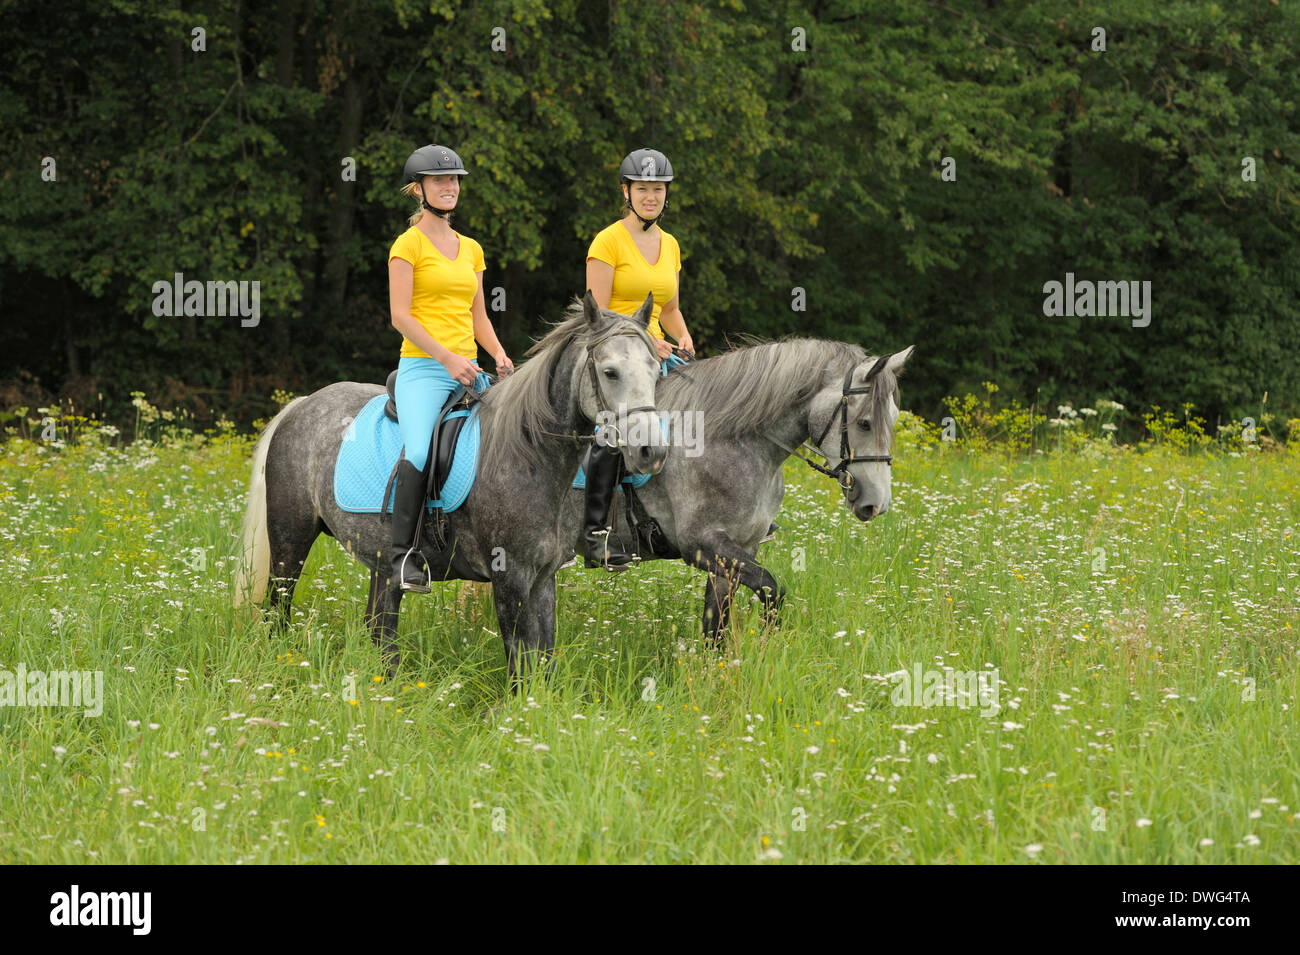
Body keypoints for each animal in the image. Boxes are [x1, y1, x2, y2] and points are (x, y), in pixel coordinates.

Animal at [232, 293, 667, 686]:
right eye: (610, 372)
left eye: (655, 369)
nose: (651, 451)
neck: (530, 452)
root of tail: (302, 404)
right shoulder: (510, 577)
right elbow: (519, 663)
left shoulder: (544, 578)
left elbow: (544, 660)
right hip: (290, 541)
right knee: (278, 608)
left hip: (382, 564)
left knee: (380, 628)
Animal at [562, 339, 915, 645]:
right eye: (865, 423)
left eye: (893, 418)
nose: (876, 503)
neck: (729, 441)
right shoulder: (703, 545)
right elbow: (772, 590)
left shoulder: (738, 550)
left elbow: (715, 625)